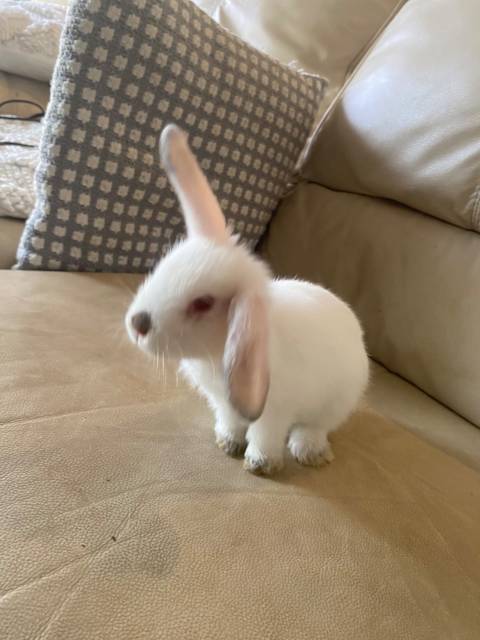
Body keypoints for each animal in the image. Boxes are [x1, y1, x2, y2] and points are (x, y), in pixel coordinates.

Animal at [125, 123, 369, 476]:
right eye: (165, 264)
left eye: (203, 303)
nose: (137, 324)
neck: (219, 350)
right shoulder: (223, 402)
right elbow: (231, 421)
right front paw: (228, 444)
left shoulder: (273, 409)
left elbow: (265, 434)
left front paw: (260, 464)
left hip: (336, 401)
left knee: (313, 428)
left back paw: (309, 452)